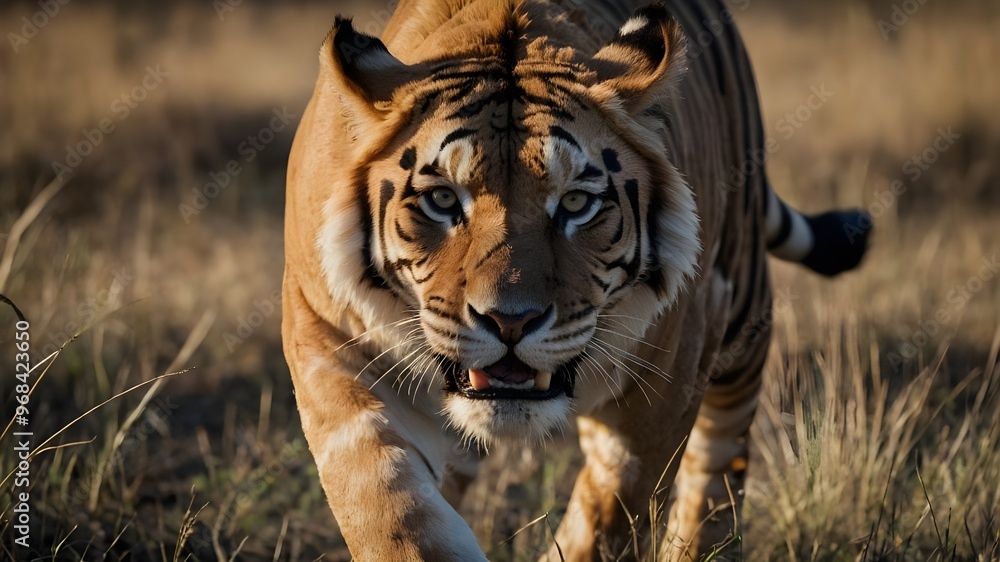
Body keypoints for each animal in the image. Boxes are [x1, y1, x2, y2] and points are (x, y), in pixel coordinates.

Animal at [281, 0, 870, 559]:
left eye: (575, 203)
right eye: (443, 199)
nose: (509, 321)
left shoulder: (665, 380)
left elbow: (607, 520)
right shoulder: (327, 337)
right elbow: (386, 504)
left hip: (740, 315)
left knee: (720, 470)